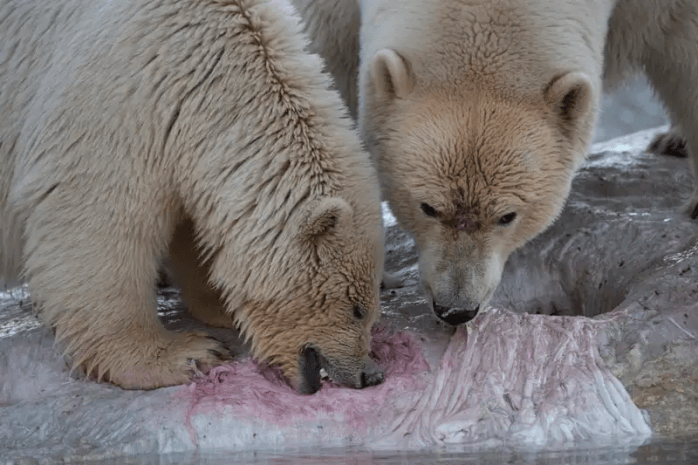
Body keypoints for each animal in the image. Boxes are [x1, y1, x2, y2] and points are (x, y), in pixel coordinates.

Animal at [0, 0, 386, 394]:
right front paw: (184, 354)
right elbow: (93, 224)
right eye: (356, 306)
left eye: (372, 304)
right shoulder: (120, 102)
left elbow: (191, 228)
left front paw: (220, 307)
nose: (368, 374)